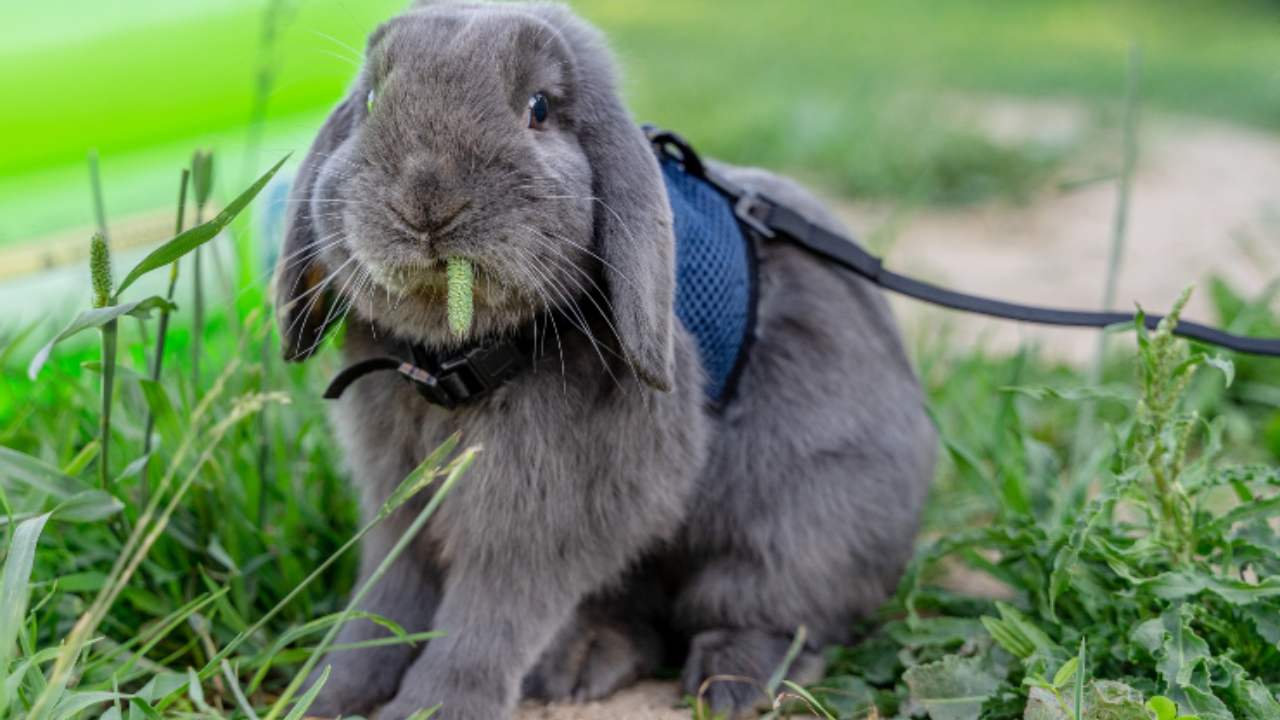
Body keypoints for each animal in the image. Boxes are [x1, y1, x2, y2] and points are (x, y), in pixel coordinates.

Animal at [274, 2, 936, 719]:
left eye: (538, 108)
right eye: (370, 100)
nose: (427, 201)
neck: (459, 362)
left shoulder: (545, 514)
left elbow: (487, 616)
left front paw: (432, 708)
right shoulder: (399, 497)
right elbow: (382, 605)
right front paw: (319, 695)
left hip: (796, 521)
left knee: (771, 612)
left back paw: (728, 682)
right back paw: (582, 665)